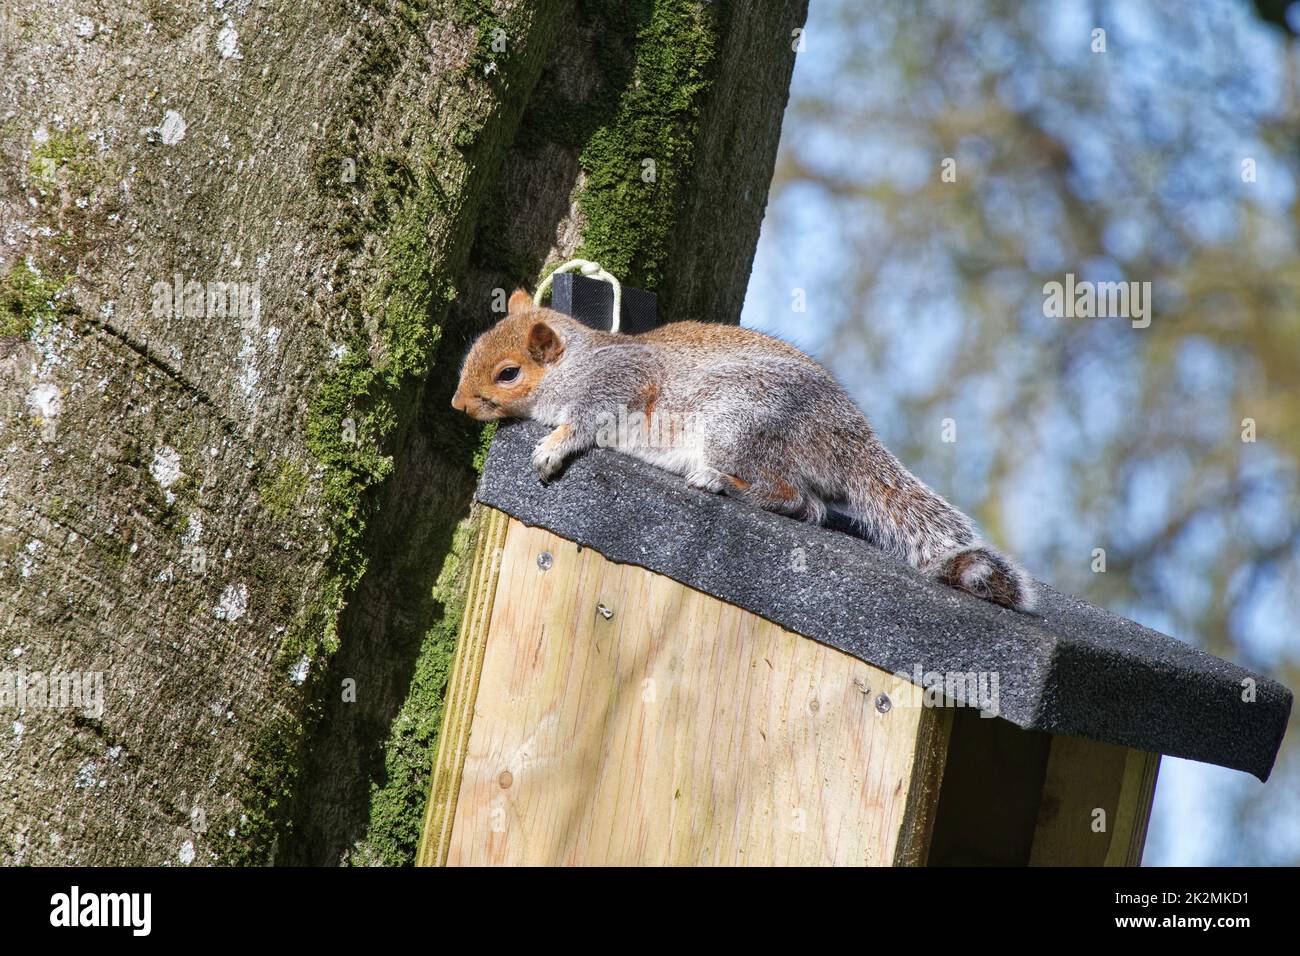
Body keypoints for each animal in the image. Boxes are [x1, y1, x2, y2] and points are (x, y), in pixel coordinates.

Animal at [452, 289, 1037, 612]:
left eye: (508, 374)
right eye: (473, 348)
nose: (458, 404)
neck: (574, 363)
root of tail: (845, 438)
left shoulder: (619, 383)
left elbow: (587, 420)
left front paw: (552, 445)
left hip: (737, 428)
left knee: (801, 502)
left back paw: (718, 482)